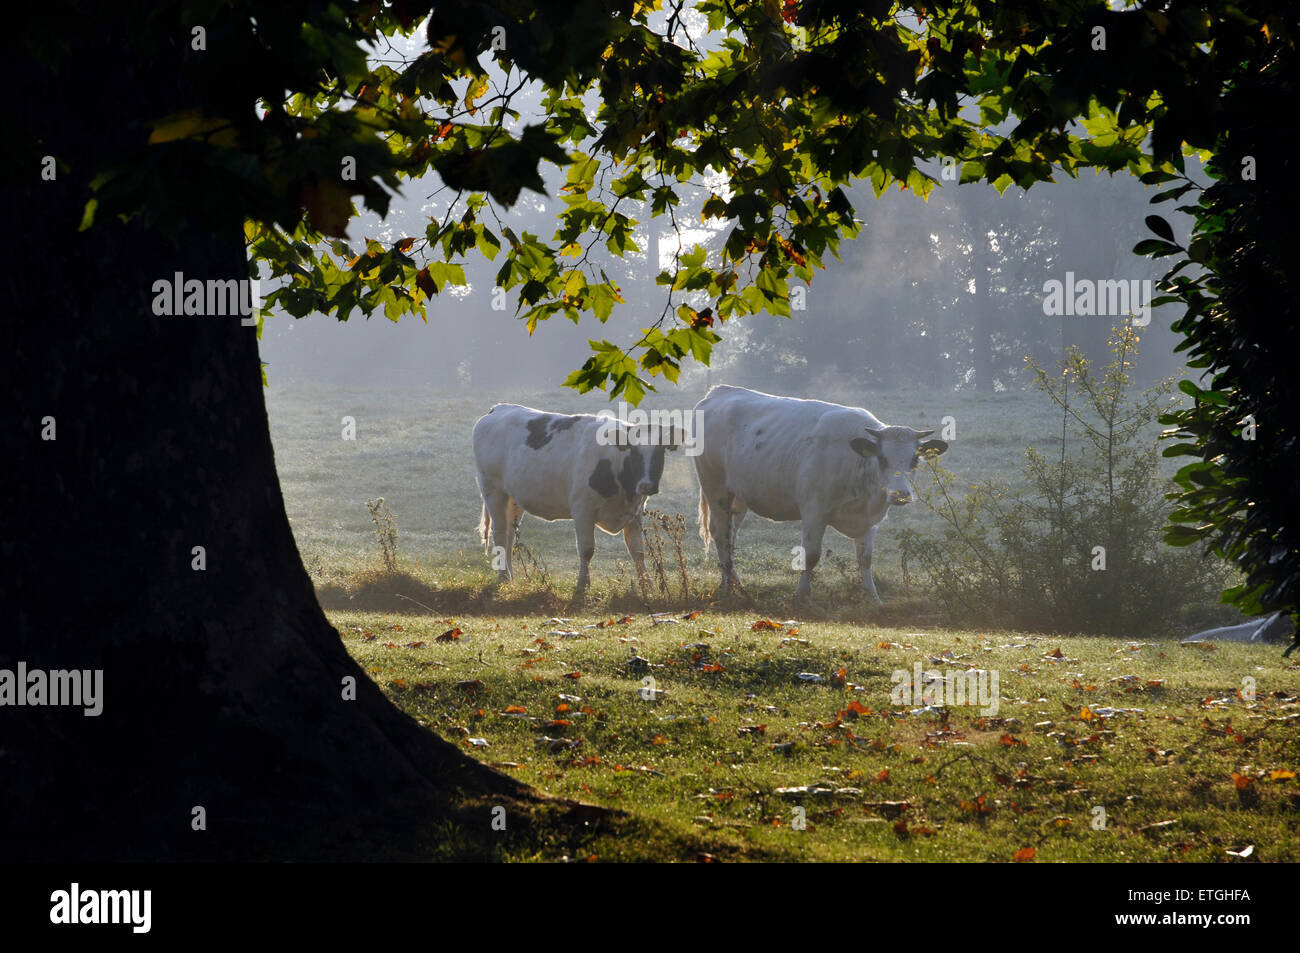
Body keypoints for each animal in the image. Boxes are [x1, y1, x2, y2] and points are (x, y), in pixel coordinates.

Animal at [472, 404, 678, 601]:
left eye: (660, 451)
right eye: (634, 452)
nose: (646, 485)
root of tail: (498, 408)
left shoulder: (635, 513)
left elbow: (638, 551)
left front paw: (648, 588)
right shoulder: (583, 510)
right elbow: (587, 550)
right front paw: (582, 588)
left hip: (514, 498)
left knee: (509, 536)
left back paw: (510, 580)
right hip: (492, 489)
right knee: (500, 533)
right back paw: (503, 579)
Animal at [692, 384, 948, 604]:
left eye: (915, 459)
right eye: (882, 458)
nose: (900, 494)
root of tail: (718, 392)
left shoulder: (869, 521)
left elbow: (865, 559)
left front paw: (873, 598)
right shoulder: (814, 511)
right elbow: (811, 555)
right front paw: (802, 597)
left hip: (738, 497)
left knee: (730, 535)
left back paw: (734, 584)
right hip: (715, 487)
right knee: (720, 534)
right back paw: (728, 588)